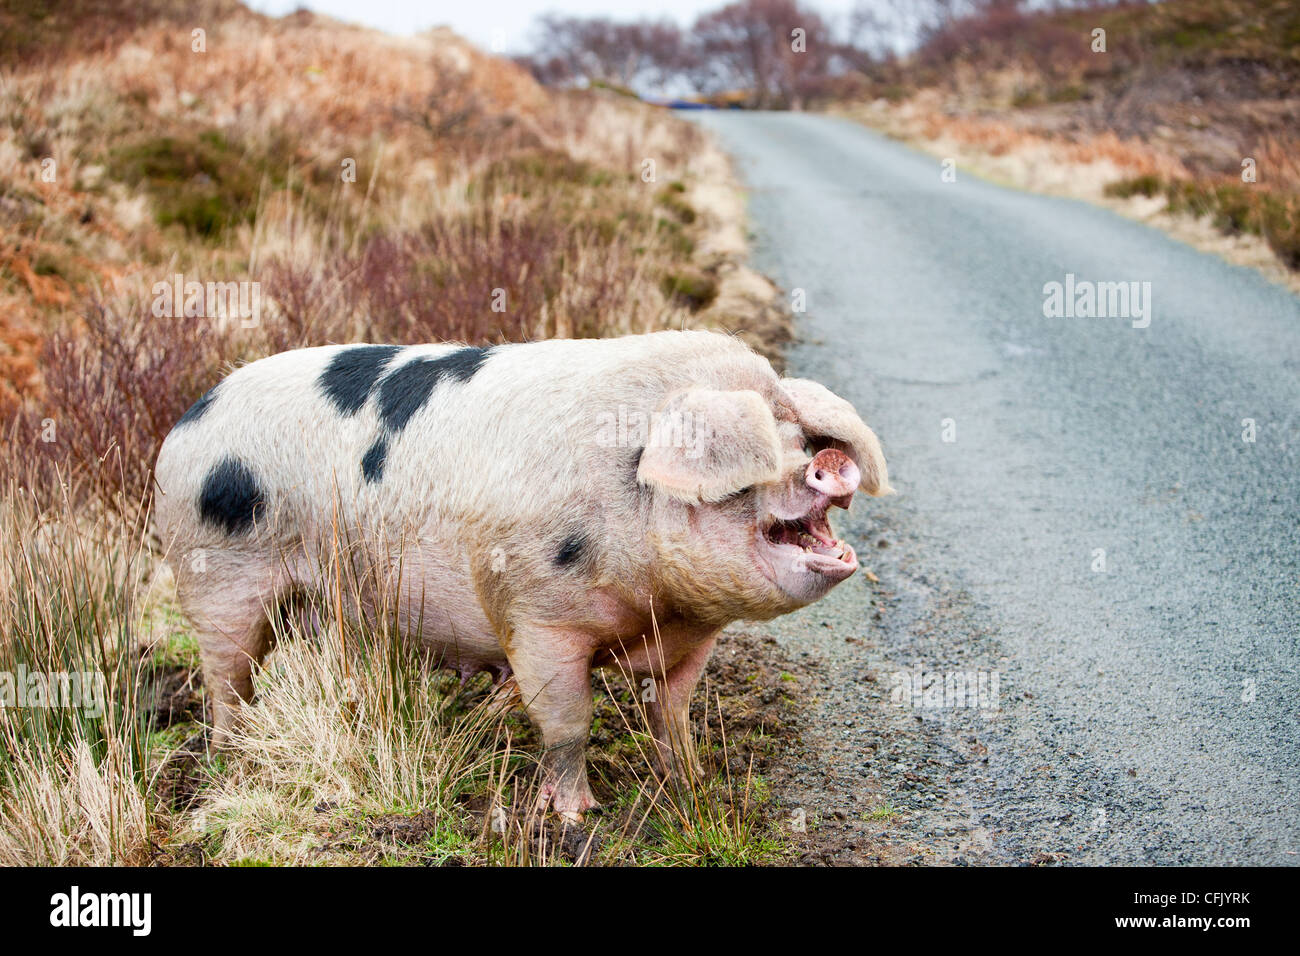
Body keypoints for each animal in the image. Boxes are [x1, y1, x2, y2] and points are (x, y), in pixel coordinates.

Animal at [153, 329, 891, 815]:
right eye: (764, 453)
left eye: (801, 435)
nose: (829, 461)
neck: (658, 604)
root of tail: (188, 419)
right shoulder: (536, 616)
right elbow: (568, 723)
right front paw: (578, 815)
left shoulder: (691, 638)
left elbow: (671, 714)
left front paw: (693, 785)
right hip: (216, 579)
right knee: (227, 681)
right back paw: (230, 758)